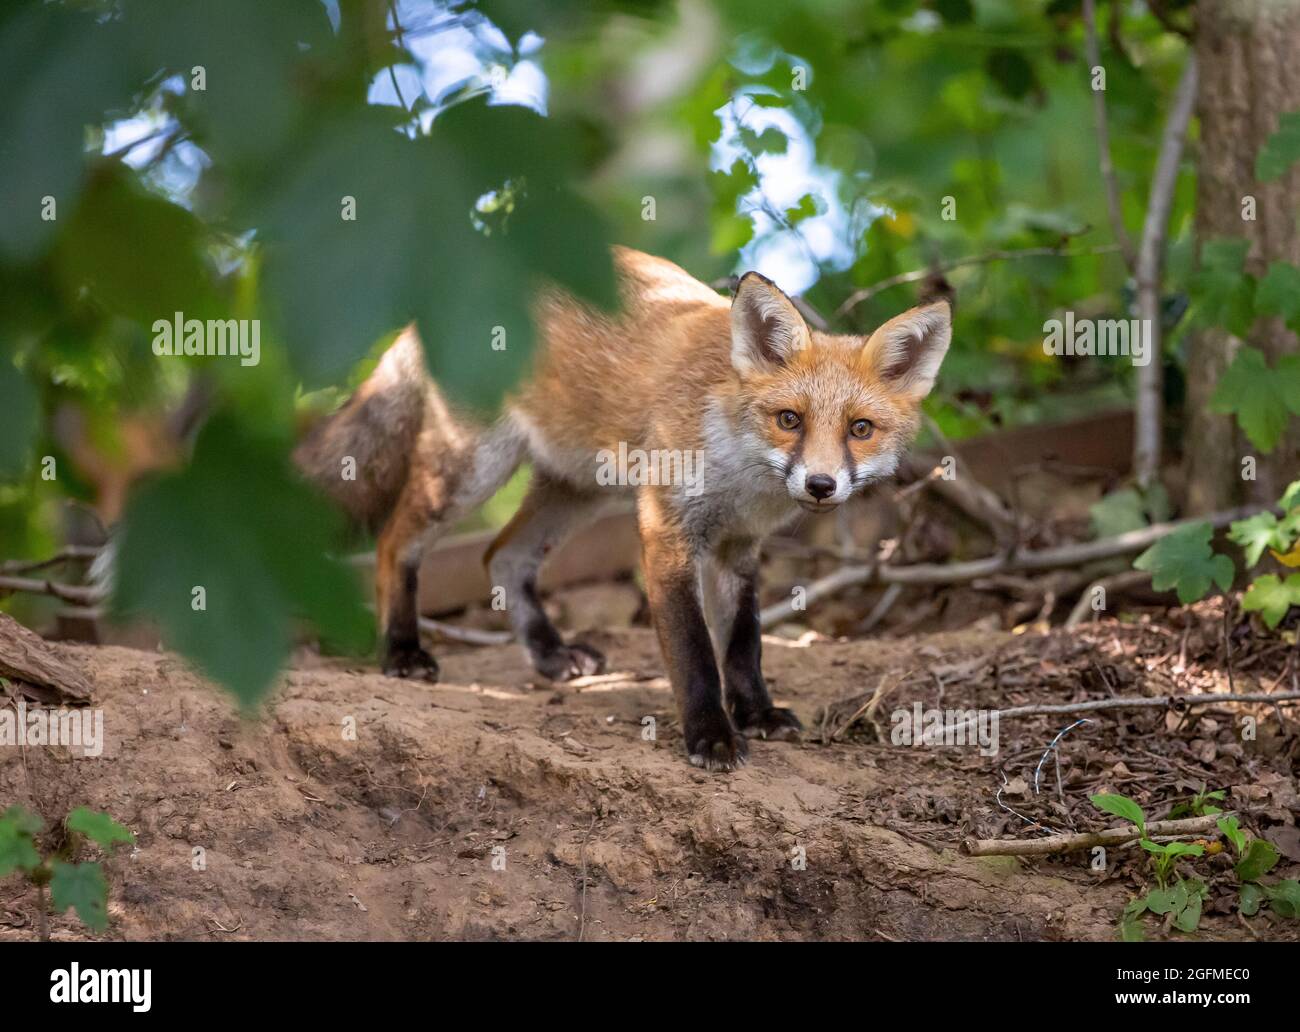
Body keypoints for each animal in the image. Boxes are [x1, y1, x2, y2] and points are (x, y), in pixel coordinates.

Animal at [296, 246, 951, 770]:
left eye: (859, 429)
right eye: (789, 419)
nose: (819, 485)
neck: (741, 475)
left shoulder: (738, 548)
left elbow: (743, 644)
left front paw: (757, 713)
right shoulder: (666, 528)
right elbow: (693, 651)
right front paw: (711, 735)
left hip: (581, 488)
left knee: (502, 556)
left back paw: (550, 654)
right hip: (471, 468)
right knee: (396, 544)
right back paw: (403, 651)